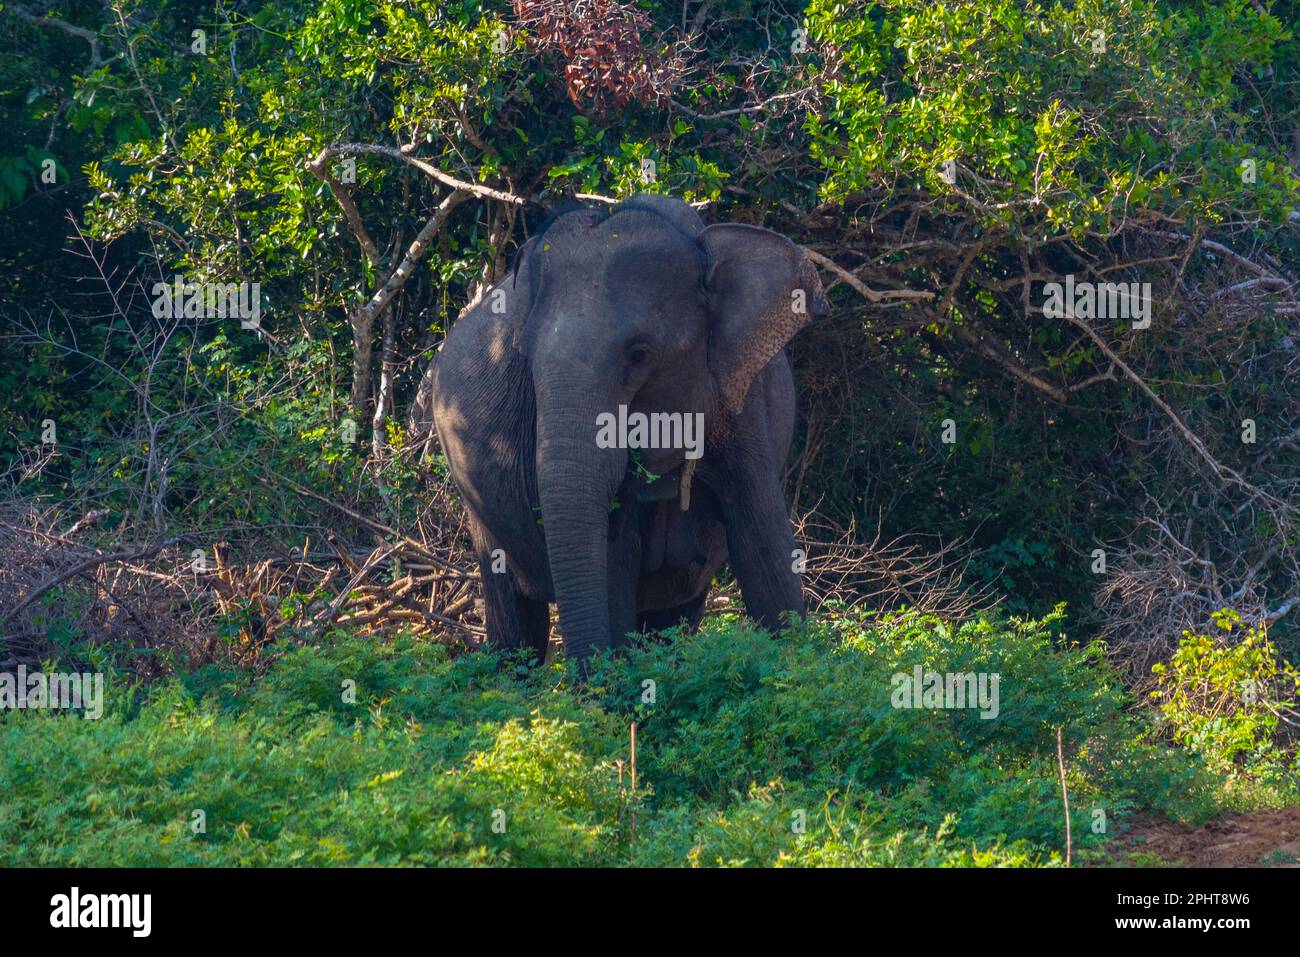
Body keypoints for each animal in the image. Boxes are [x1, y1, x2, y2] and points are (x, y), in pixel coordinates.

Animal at [423, 194, 828, 666]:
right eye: (527, 359)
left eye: (639, 355)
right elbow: (614, 565)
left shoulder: (744, 396)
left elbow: (764, 550)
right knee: (516, 626)